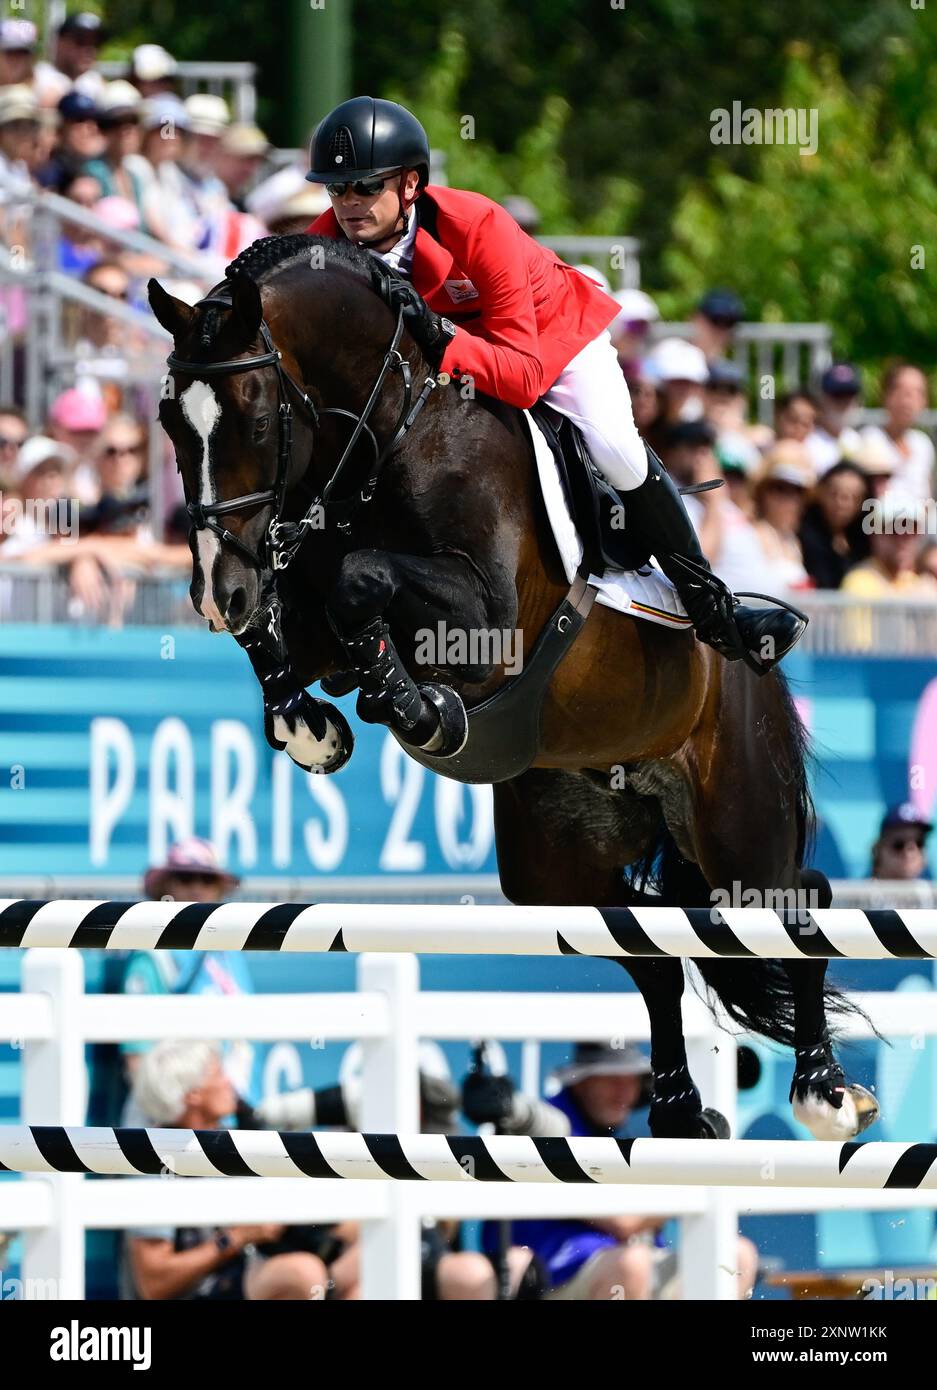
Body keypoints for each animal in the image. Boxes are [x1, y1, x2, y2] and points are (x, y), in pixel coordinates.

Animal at [149, 234, 878, 1143]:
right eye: (170, 423)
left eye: (252, 412)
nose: (217, 591)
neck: (388, 433)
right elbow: (291, 623)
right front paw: (309, 722)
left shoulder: (483, 620)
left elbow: (361, 578)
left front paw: (415, 708)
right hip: (554, 860)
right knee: (649, 952)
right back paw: (678, 1108)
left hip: (738, 815)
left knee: (796, 902)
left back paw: (823, 1088)